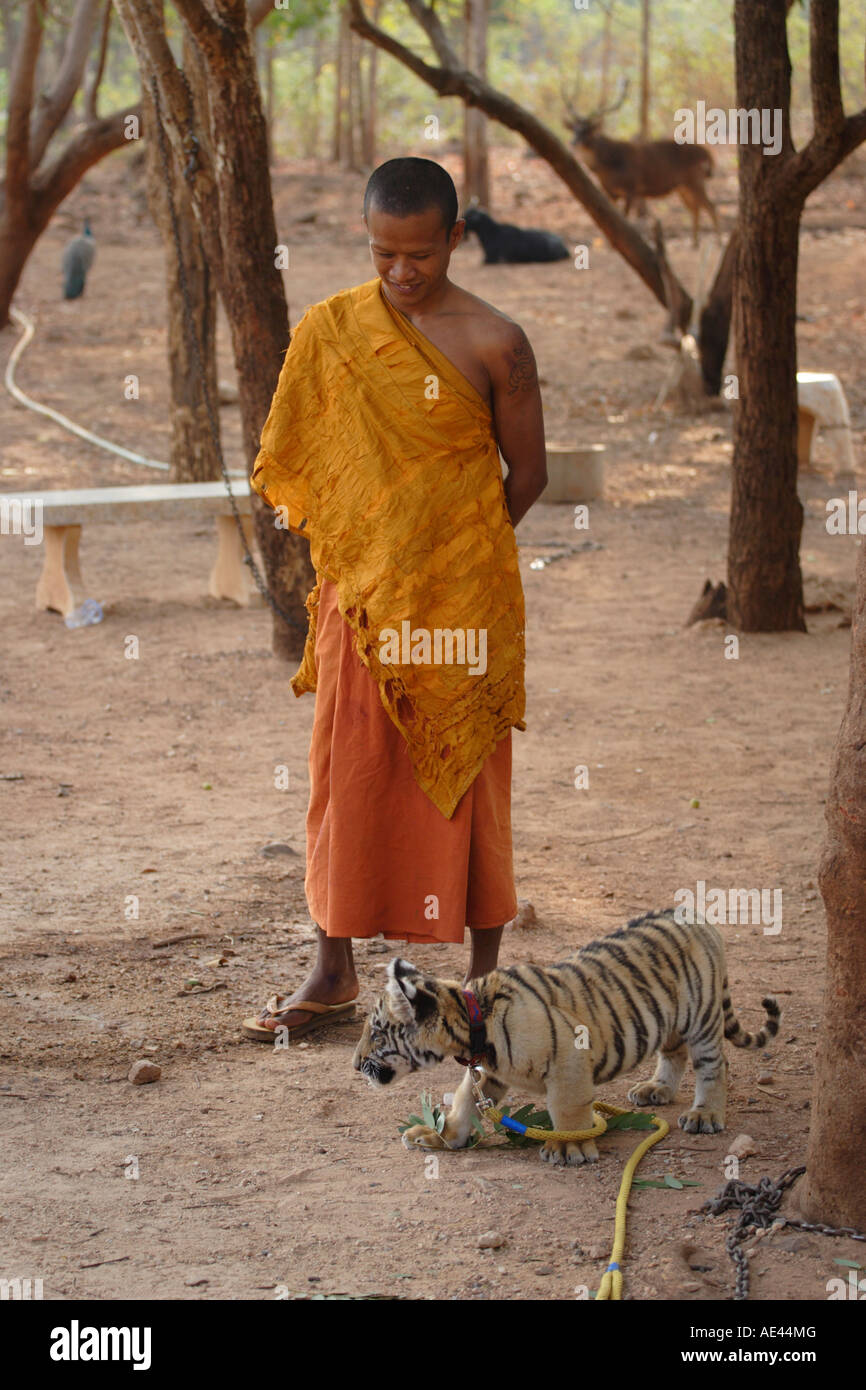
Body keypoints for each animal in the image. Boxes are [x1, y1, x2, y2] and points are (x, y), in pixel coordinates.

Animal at [352, 909, 780, 1167]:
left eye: (376, 1032)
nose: (355, 1064)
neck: (474, 1024)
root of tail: (694, 915)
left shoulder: (568, 1060)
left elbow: (566, 1108)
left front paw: (568, 1147)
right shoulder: (488, 1072)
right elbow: (463, 1102)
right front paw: (440, 1136)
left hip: (702, 1015)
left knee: (714, 1064)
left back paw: (704, 1114)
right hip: (668, 1018)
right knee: (673, 1052)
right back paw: (655, 1089)